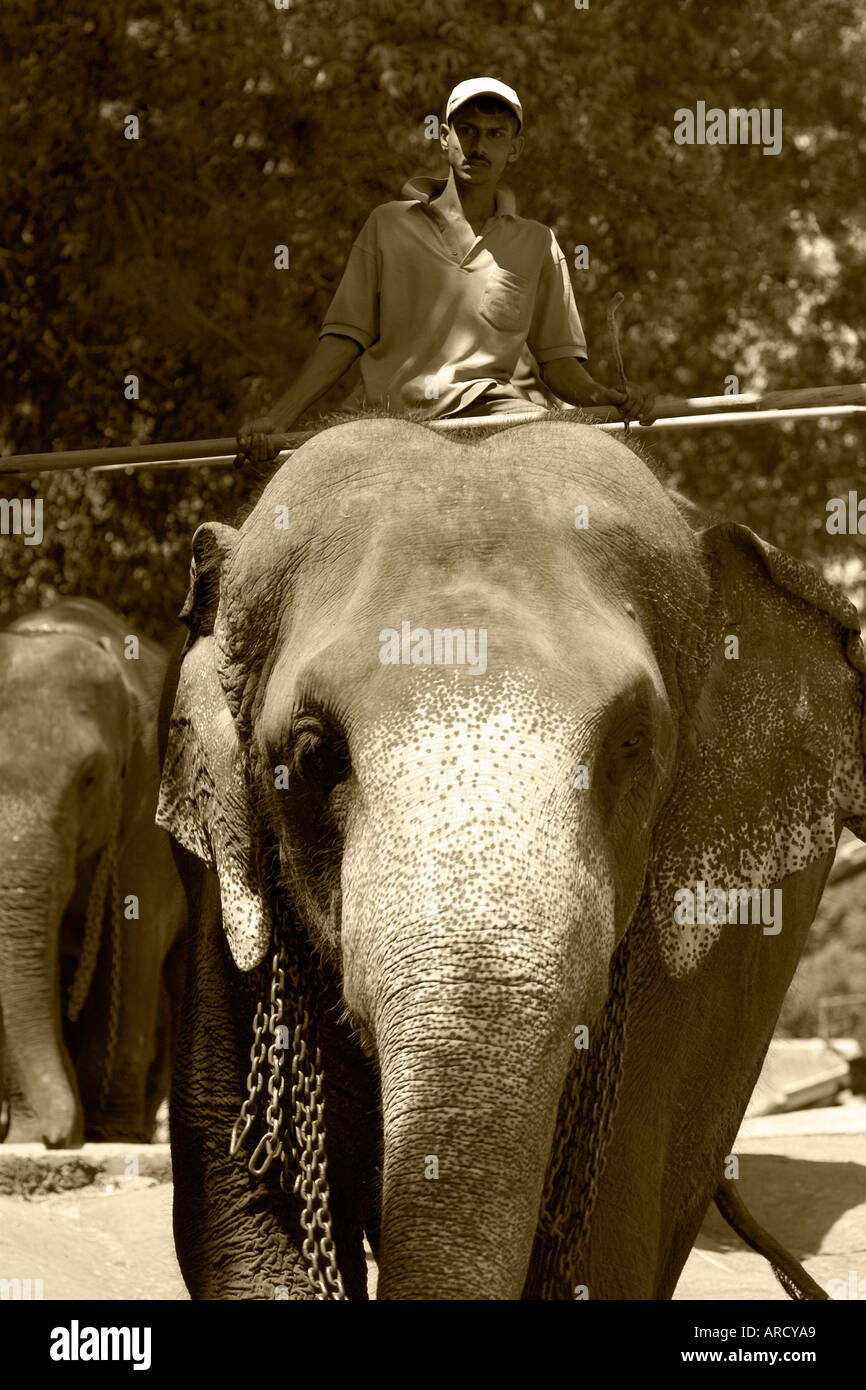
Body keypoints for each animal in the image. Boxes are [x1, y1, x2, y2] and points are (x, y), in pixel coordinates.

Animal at [0, 598, 187, 1147]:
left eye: (89, 779)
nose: (60, 1137)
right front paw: (27, 1139)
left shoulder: (149, 797)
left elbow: (135, 935)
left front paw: (112, 1134)